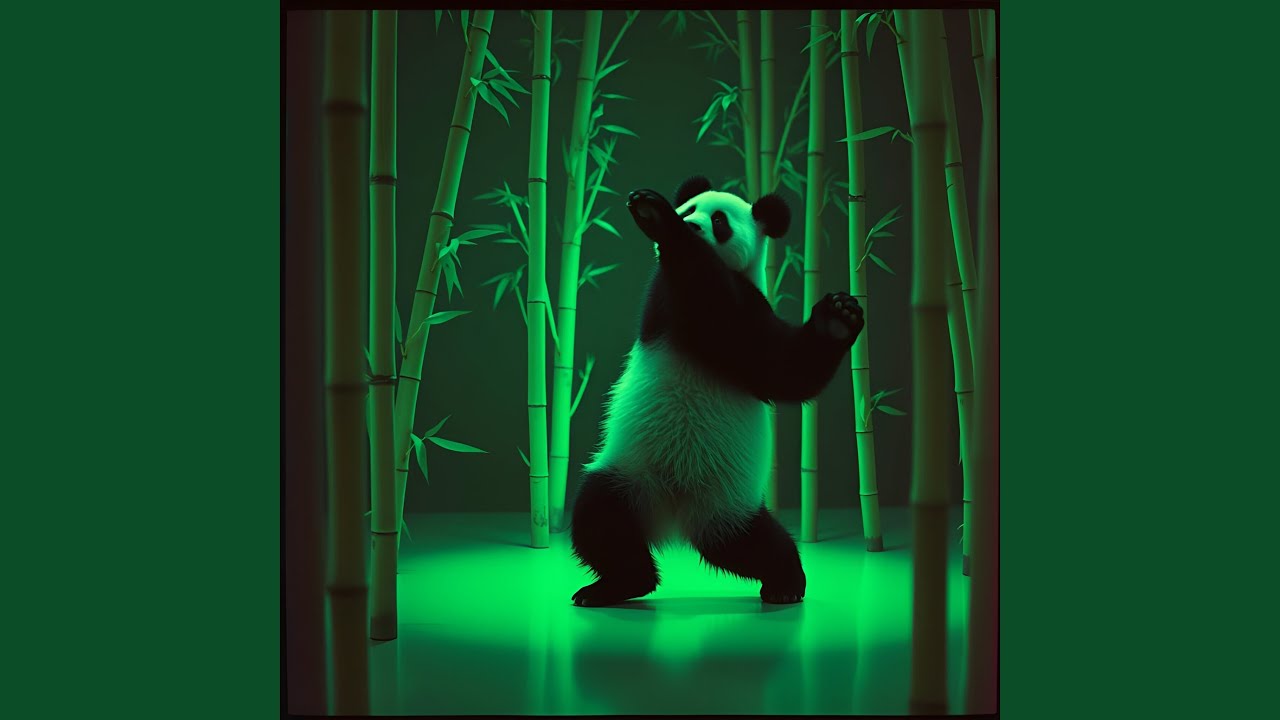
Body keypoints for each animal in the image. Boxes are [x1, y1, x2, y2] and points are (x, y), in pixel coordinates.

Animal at [568, 175, 865, 607]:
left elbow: (776, 366)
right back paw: (617, 584)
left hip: (727, 498)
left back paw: (786, 584)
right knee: (601, 518)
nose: (692, 226)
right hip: (629, 474)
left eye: (721, 221)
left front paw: (838, 318)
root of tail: (672, 514)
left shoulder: (744, 303)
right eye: (691, 209)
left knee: (750, 543)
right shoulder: (665, 295)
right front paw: (657, 216)